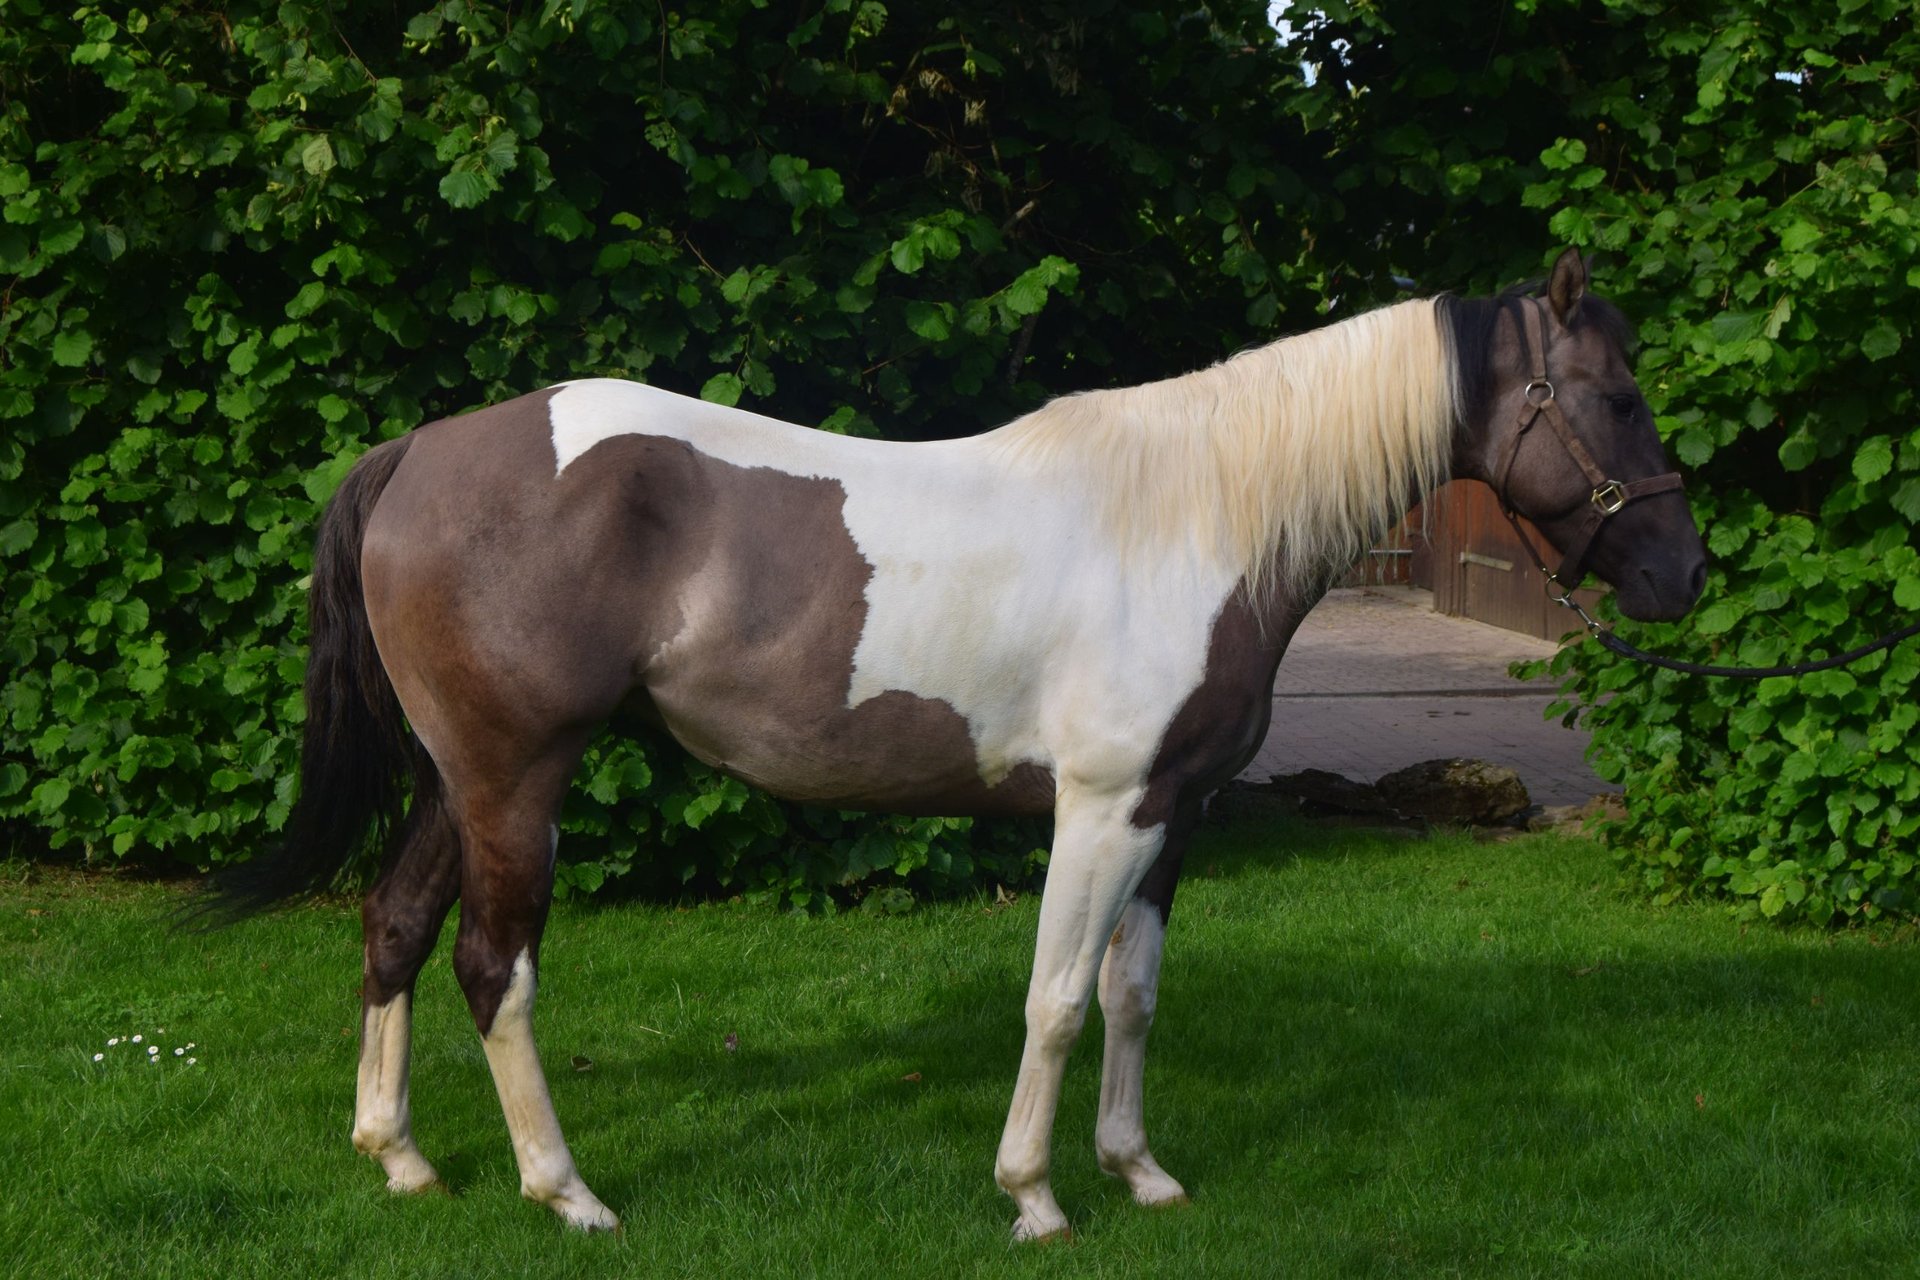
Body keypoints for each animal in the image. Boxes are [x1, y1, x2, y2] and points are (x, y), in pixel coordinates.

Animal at [224, 249, 1707, 1240]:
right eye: (1615, 394)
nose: (1685, 574)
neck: (1191, 519)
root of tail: (417, 454)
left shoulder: (1172, 815)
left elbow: (1130, 996)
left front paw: (1139, 1173)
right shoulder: (1099, 811)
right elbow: (1055, 1000)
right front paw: (1035, 1196)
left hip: (452, 779)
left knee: (396, 925)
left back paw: (402, 1158)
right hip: (514, 779)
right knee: (495, 967)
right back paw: (567, 1191)